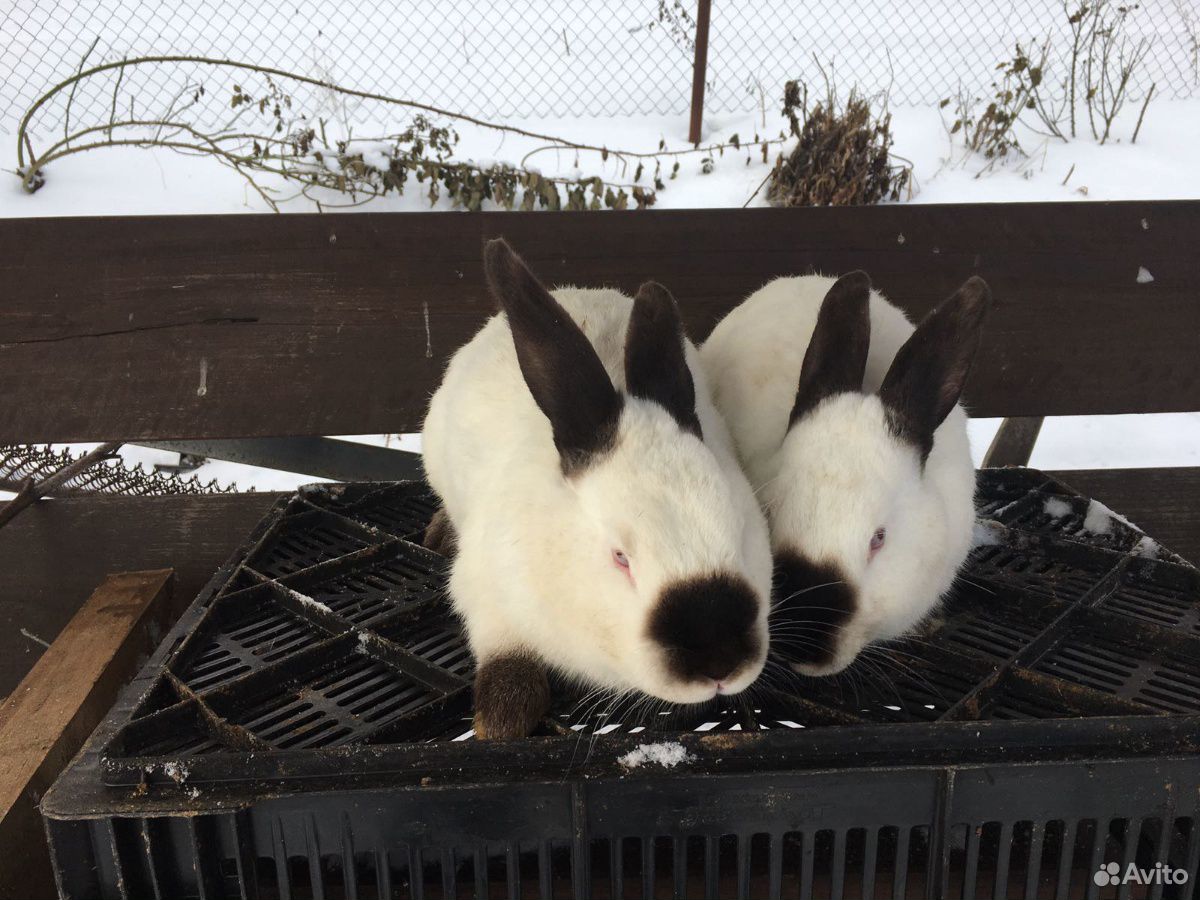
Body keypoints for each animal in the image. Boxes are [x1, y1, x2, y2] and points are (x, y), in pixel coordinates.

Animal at [421, 239, 773, 738]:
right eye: (620, 557)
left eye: (741, 530)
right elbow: (506, 656)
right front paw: (500, 720)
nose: (719, 663)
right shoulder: (483, 591)